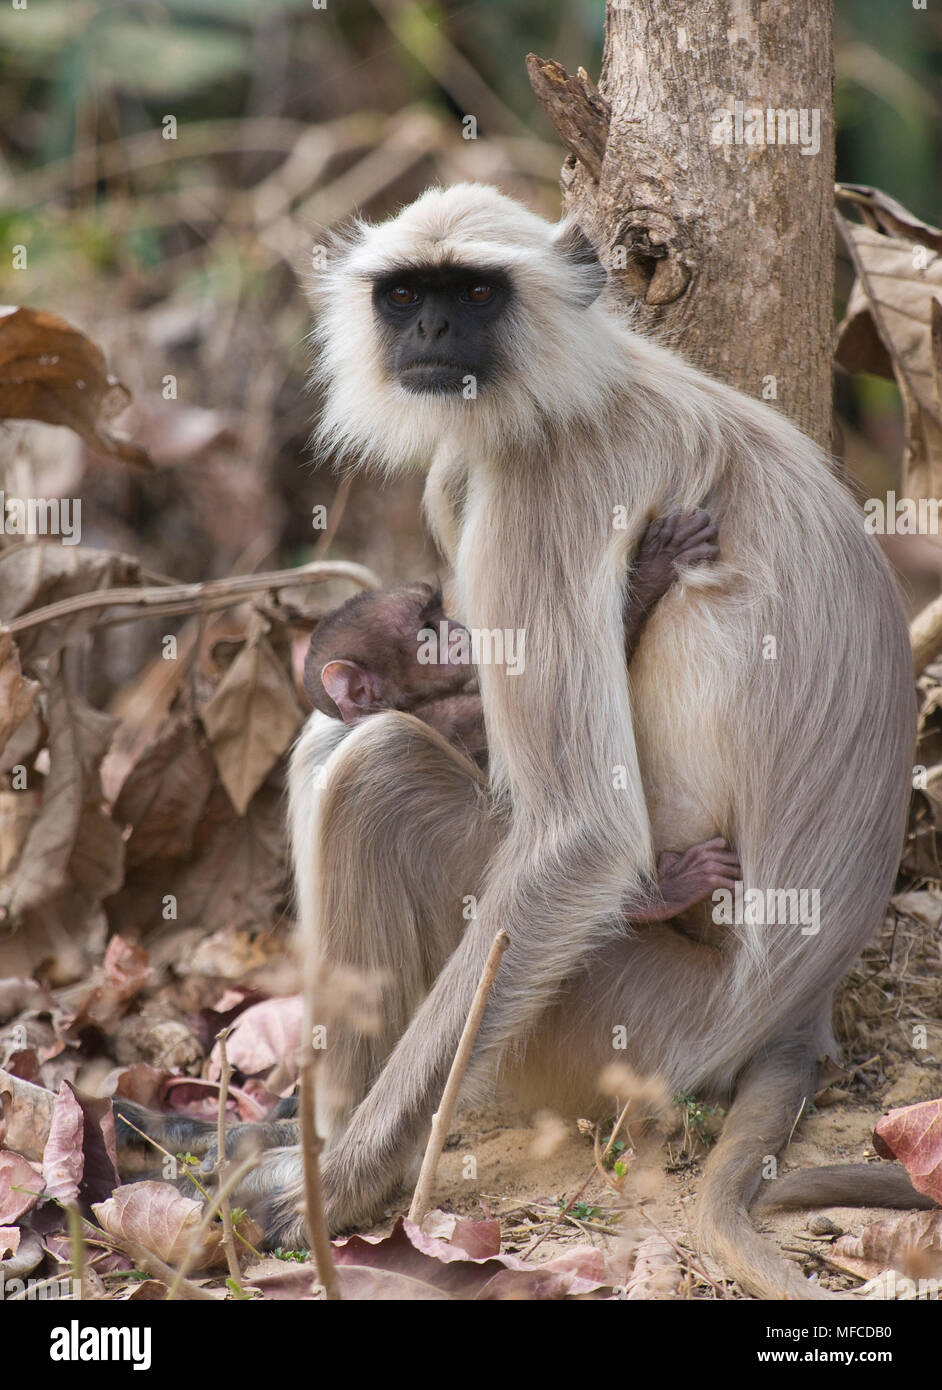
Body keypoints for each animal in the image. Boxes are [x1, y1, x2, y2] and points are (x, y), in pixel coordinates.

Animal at [124, 184, 923, 1299]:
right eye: (405, 294)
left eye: (473, 293)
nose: (427, 333)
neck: (583, 380)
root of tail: (796, 1013)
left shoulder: (536, 485)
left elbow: (578, 830)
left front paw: (347, 1182)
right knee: (341, 747)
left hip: (617, 1021)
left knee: (376, 768)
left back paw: (329, 1148)